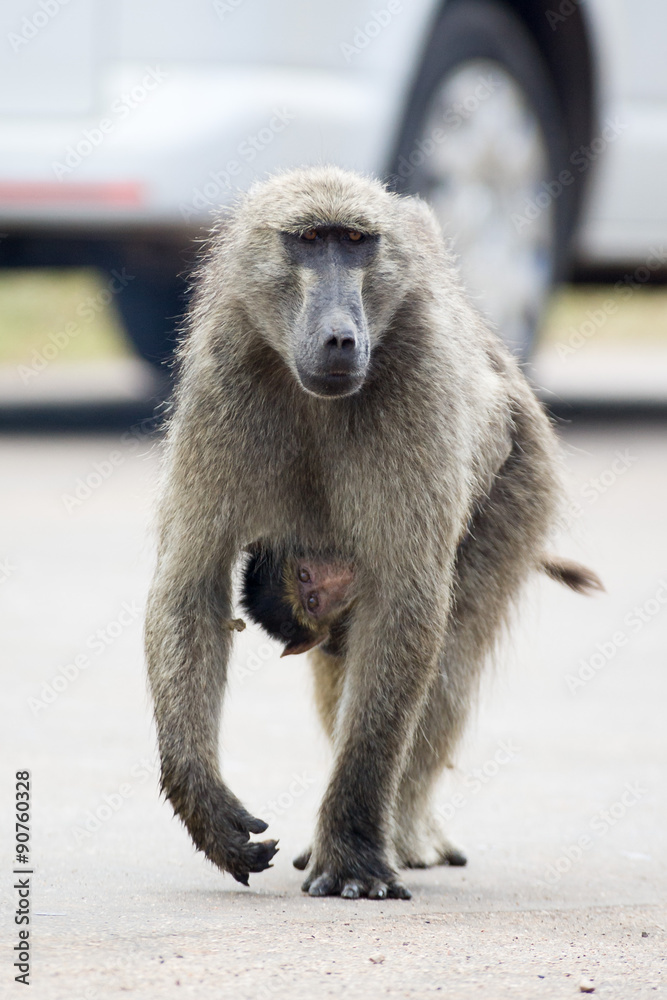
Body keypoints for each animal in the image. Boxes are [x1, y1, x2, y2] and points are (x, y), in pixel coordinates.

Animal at [145, 165, 602, 900]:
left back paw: (405, 832)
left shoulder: (417, 387)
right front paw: (205, 806)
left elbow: (405, 603)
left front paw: (355, 854)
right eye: (309, 241)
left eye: (356, 242)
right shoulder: (222, 377)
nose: (339, 338)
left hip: (519, 481)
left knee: (446, 662)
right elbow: (191, 585)